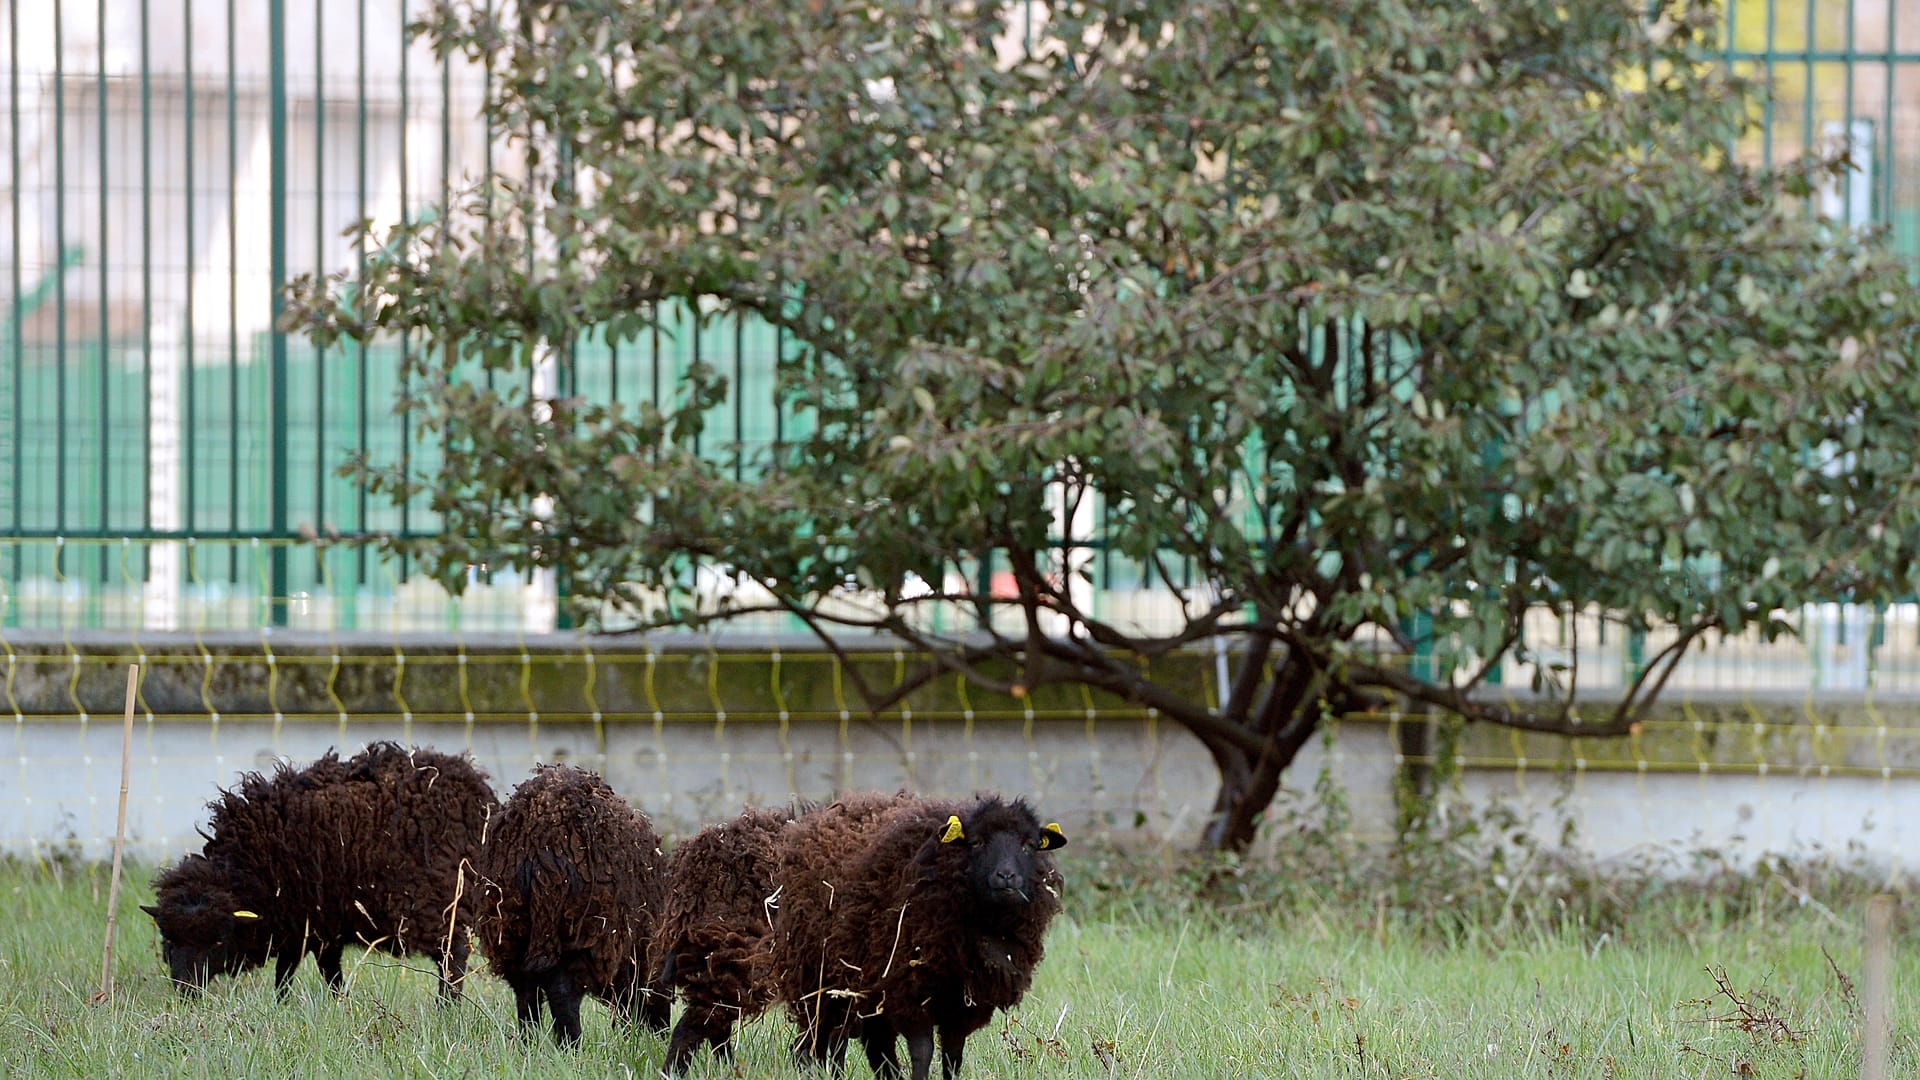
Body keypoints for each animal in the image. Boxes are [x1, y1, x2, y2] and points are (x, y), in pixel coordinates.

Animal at [141, 742, 499, 999]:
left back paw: (447, 1006)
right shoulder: (307, 921)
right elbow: (297, 971)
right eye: (168, 940)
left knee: (453, 958)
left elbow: (307, 971)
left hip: (440, 898)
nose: (186, 992)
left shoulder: (312, 919)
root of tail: (479, 794)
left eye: (218, 941)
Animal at [474, 763, 672, 1046]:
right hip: (579, 928)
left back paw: (528, 1043)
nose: (662, 1033)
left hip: (509, 926)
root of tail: (538, 845)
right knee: (562, 990)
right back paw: (571, 1045)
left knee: (525, 990)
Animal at [774, 793, 1068, 1080]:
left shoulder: (962, 1004)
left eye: (1029, 844)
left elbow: (953, 1056)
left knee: (864, 1046)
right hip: (821, 984)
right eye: (976, 842)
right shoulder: (911, 991)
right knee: (818, 1044)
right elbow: (923, 1051)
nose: (1006, 876)